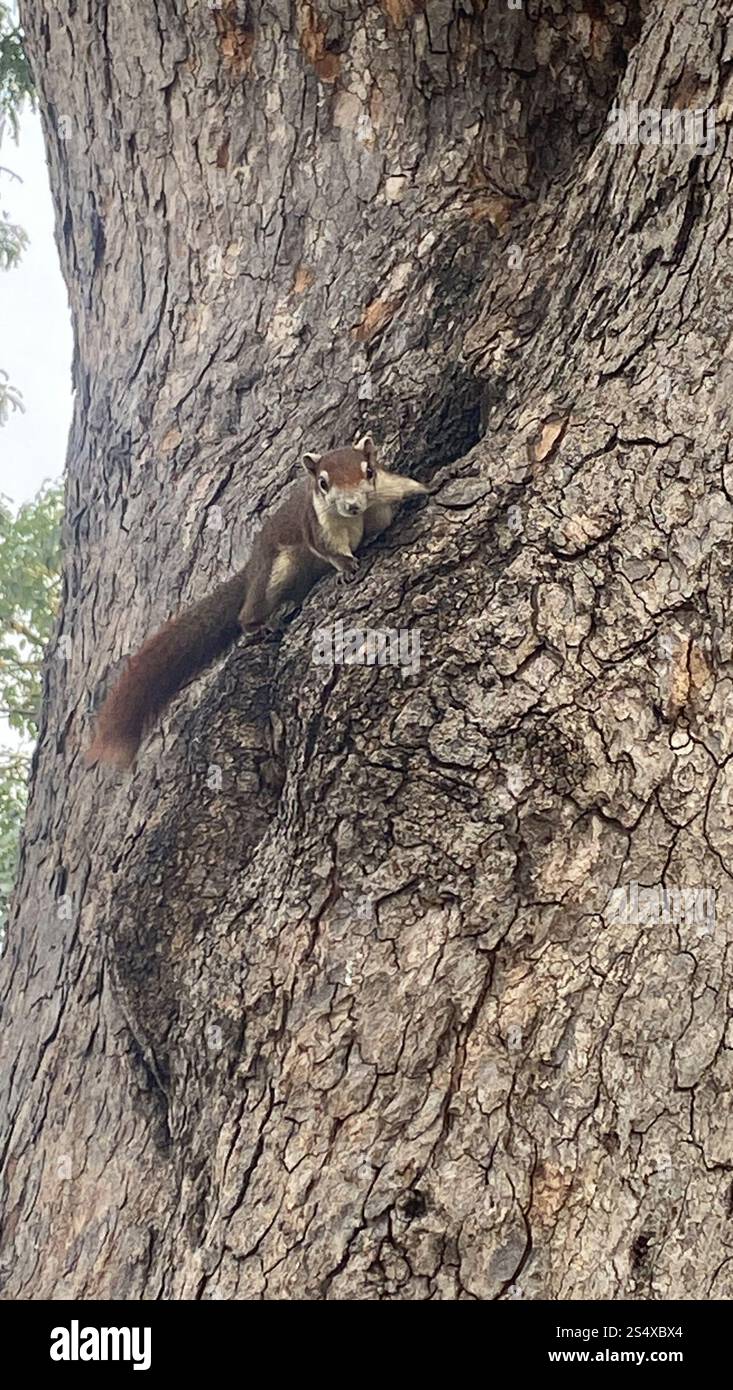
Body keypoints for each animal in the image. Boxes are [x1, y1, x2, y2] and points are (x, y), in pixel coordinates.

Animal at [87, 435, 427, 769]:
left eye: (368, 471)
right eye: (323, 483)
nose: (352, 505)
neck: (360, 516)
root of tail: (252, 568)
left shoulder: (385, 491)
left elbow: (403, 494)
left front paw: (421, 495)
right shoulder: (317, 526)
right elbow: (330, 550)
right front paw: (346, 567)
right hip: (275, 573)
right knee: (248, 612)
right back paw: (259, 625)